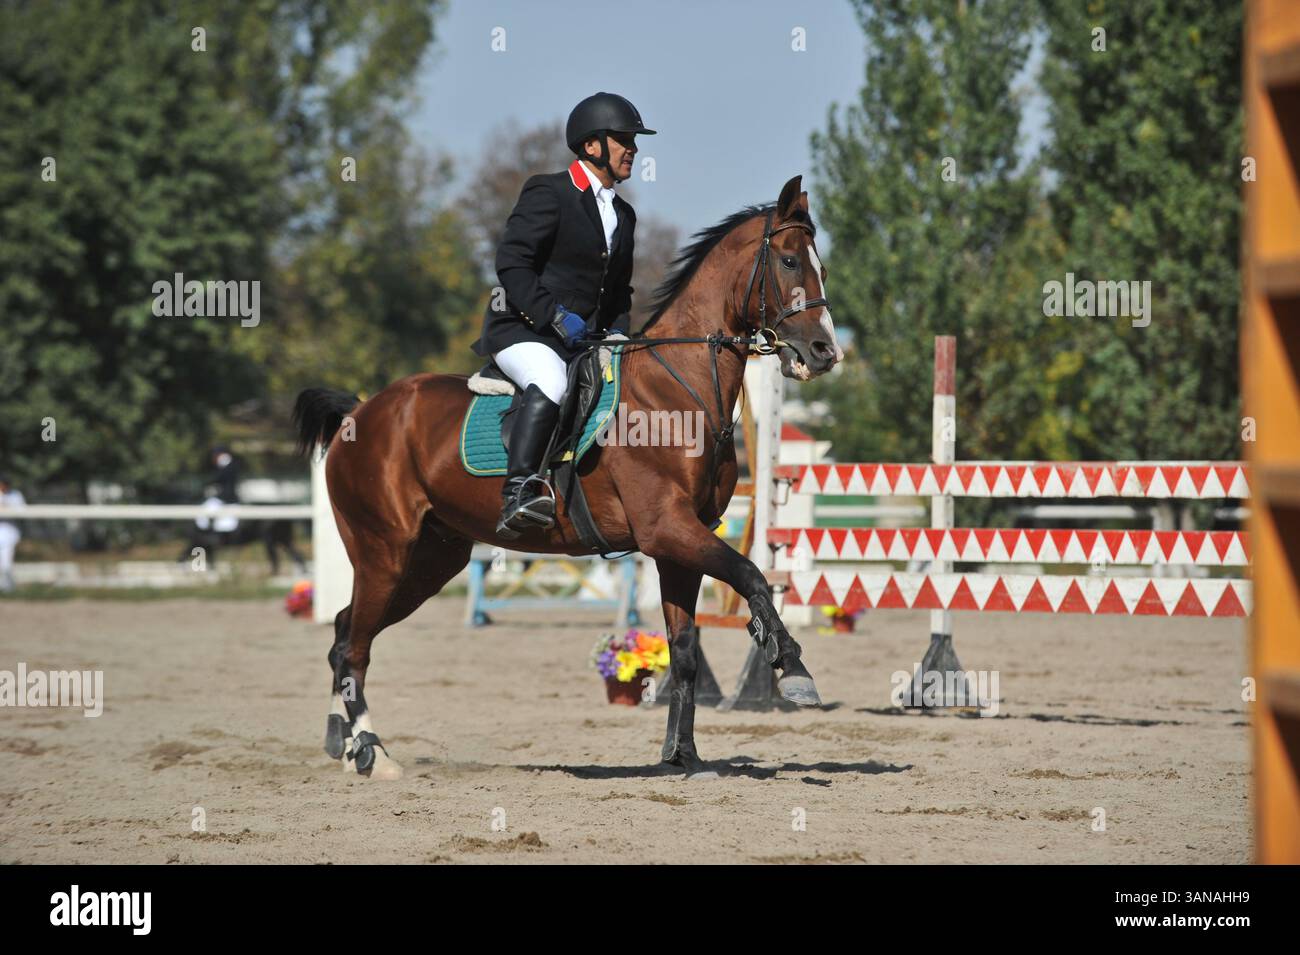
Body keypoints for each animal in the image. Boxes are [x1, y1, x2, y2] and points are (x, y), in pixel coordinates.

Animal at [293, 175, 843, 780]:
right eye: (789, 261)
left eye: (819, 264)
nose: (824, 352)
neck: (676, 392)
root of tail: (359, 412)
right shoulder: (667, 529)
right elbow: (752, 575)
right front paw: (793, 670)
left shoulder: (679, 543)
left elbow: (684, 652)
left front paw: (684, 755)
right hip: (384, 552)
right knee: (354, 647)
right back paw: (375, 753)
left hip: (430, 561)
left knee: (344, 631)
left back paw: (342, 744)